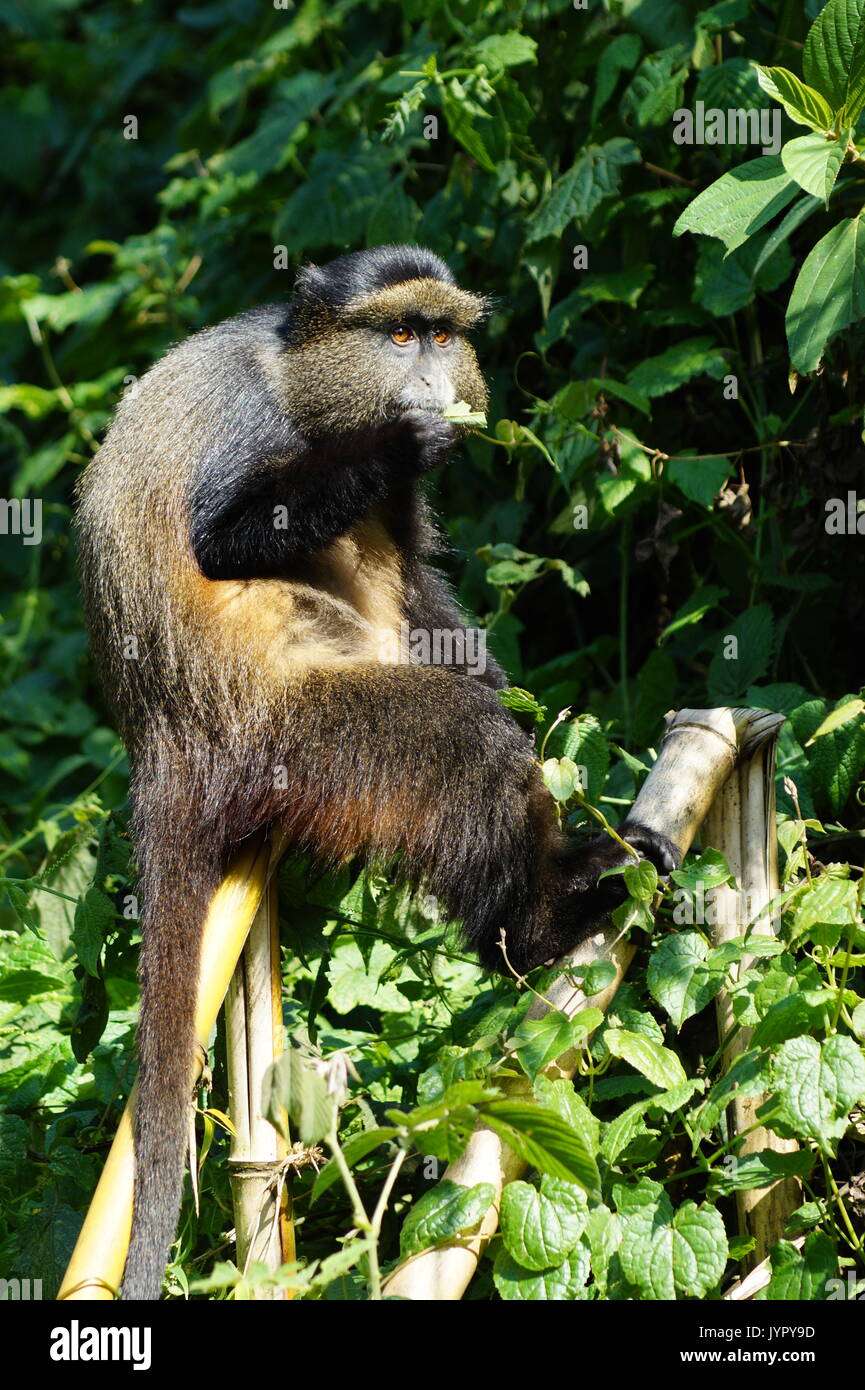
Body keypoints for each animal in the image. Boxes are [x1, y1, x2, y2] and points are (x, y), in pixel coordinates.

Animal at [75, 244, 679, 1300]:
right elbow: (227, 538)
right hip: (297, 743)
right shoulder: (255, 421)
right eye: (399, 335)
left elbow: (422, 585)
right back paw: (536, 924)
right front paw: (403, 439)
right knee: (459, 738)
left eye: (440, 334)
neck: (302, 373)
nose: (431, 378)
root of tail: (166, 744)